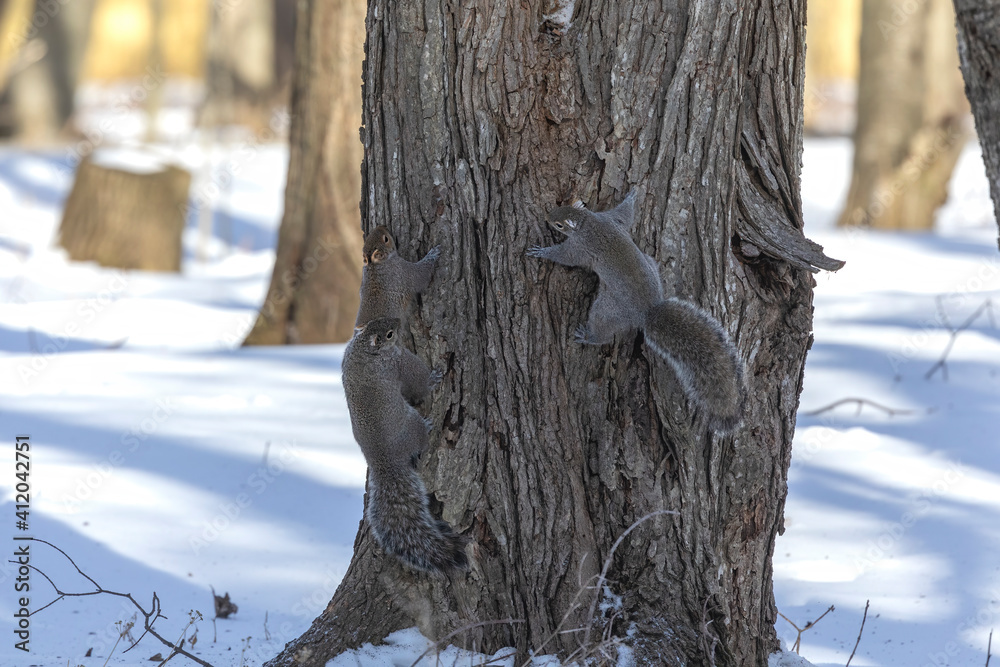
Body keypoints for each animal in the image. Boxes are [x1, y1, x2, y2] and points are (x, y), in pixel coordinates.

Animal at [341, 316, 469, 574]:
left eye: (381, 322)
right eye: (390, 334)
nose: (399, 321)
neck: (364, 348)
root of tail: (385, 460)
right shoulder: (400, 362)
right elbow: (418, 383)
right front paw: (435, 377)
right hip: (412, 424)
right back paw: (428, 426)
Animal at [527, 191, 746, 433]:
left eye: (559, 224)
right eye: (560, 207)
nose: (547, 217)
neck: (588, 222)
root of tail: (648, 312)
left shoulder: (580, 248)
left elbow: (565, 256)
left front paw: (542, 252)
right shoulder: (611, 220)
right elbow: (624, 214)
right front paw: (632, 195)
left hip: (608, 308)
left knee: (602, 329)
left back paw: (588, 336)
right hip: (649, 263)